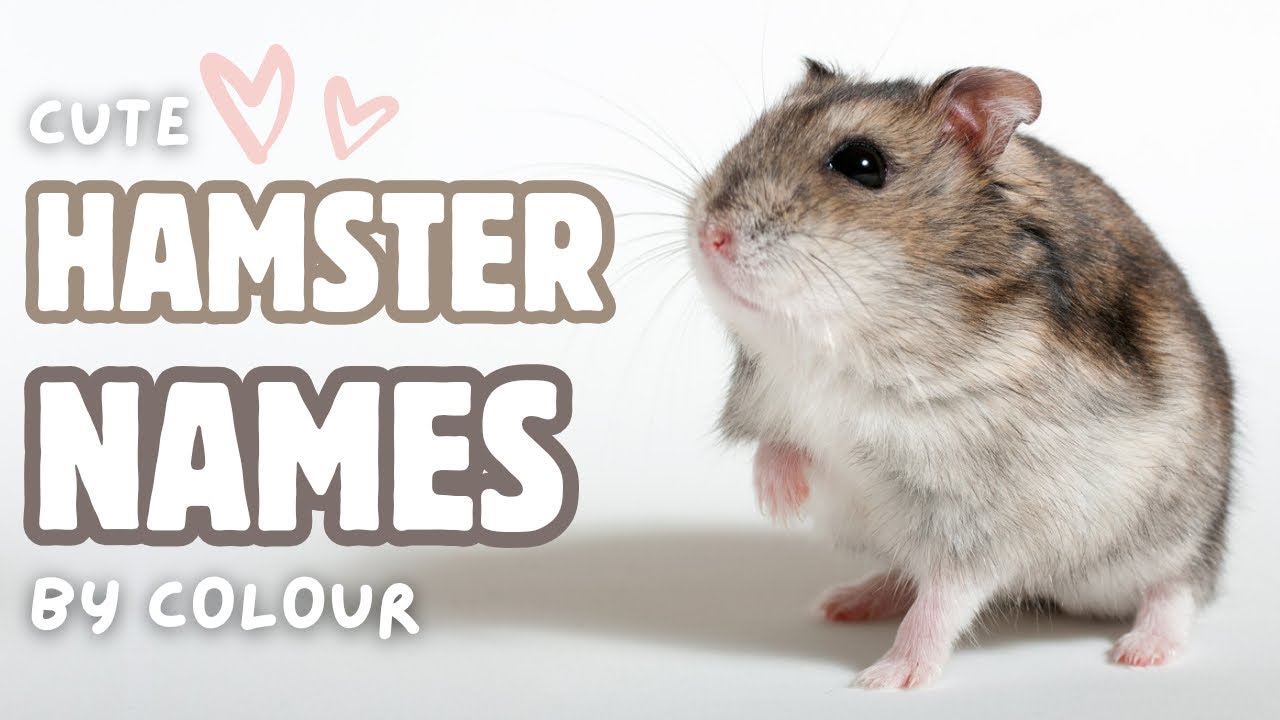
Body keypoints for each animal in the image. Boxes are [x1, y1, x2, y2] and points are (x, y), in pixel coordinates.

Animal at [685, 61, 1234, 689]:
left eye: (861, 164)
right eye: (755, 132)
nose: (709, 235)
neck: (853, 342)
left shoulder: (979, 522)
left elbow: (943, 602)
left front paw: (887, 679)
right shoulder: (813, 430)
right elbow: (783, 446)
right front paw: (779, 501)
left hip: (1177, 533)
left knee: (1176, 589)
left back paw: (1142, 651)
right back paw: (846, 601)